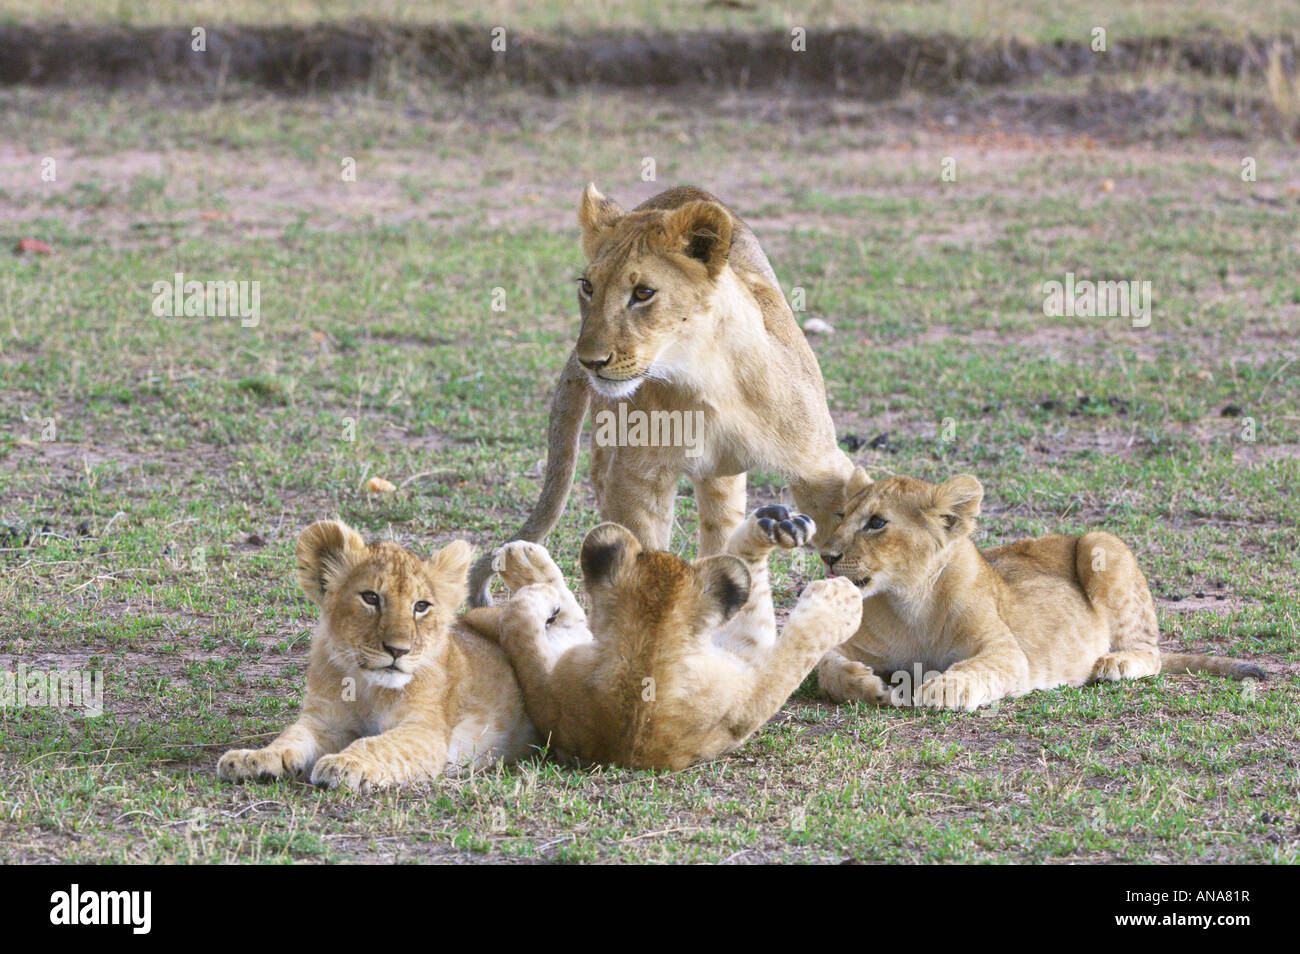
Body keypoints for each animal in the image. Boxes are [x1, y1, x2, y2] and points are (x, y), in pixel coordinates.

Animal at [217, 521, 537, 792]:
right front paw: (253, 758)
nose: (398, 650)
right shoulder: (325, 722)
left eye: (421, 606)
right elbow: (290, 738)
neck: (366, 685)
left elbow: (378, 744)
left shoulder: (424, 732)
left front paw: (344, 762)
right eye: (370, 598)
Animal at [468, 184, 856, 605]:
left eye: (643, 293)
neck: (703, 384)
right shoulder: (635, 478)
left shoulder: (824, 466)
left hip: (721, 479)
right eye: (588, 286)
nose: (590, 361)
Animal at [815, 472, 1267, 711]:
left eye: (876, 523)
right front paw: (867, 685)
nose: (827, 555)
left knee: (1151, 653)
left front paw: (941, 688)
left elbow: (976, 669)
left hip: (1101, 542)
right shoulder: (855, 645)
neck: (909, 600)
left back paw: (1115, 663)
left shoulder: (1005, 651)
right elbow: (826, 665)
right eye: (842, 515)